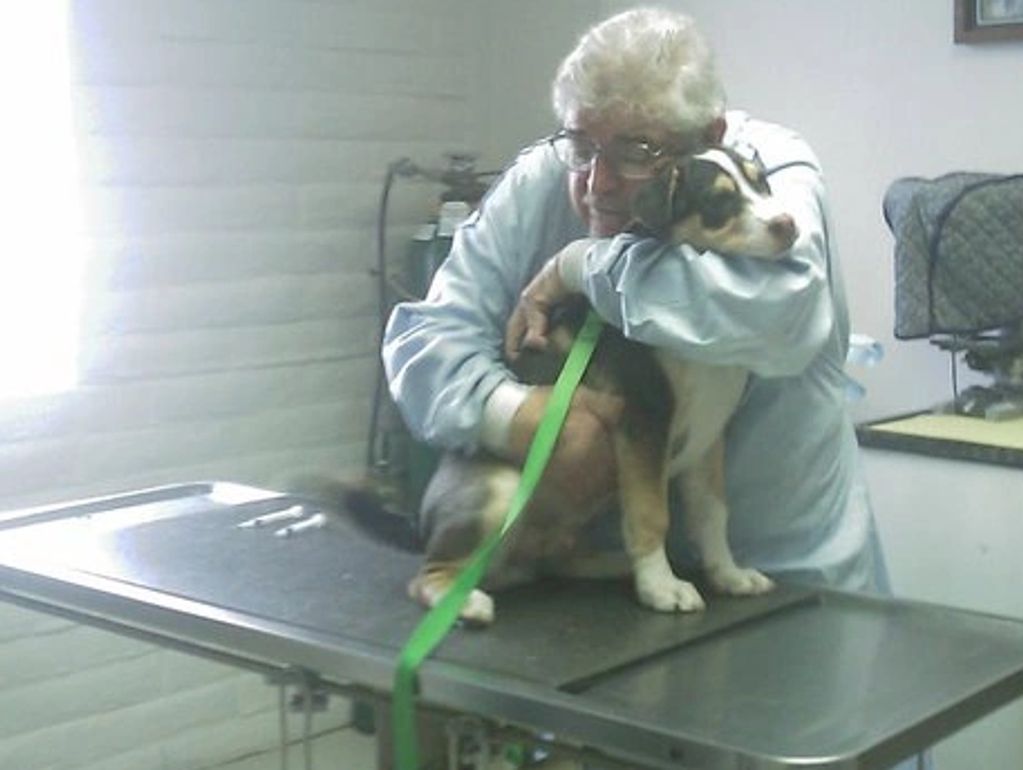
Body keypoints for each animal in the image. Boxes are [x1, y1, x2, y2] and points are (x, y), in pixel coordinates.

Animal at [309, 146, 798, 626]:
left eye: (762, 182)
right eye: (718, 200)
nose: (788, 225)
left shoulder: (707, 438)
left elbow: (713, 515)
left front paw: (729, 575)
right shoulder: (644, 421)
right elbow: (650, 514)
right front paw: (662, 587)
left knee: (552, 559)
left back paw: (608, 563)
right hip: (500, 489)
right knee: (430, 574)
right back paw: (464, 602)